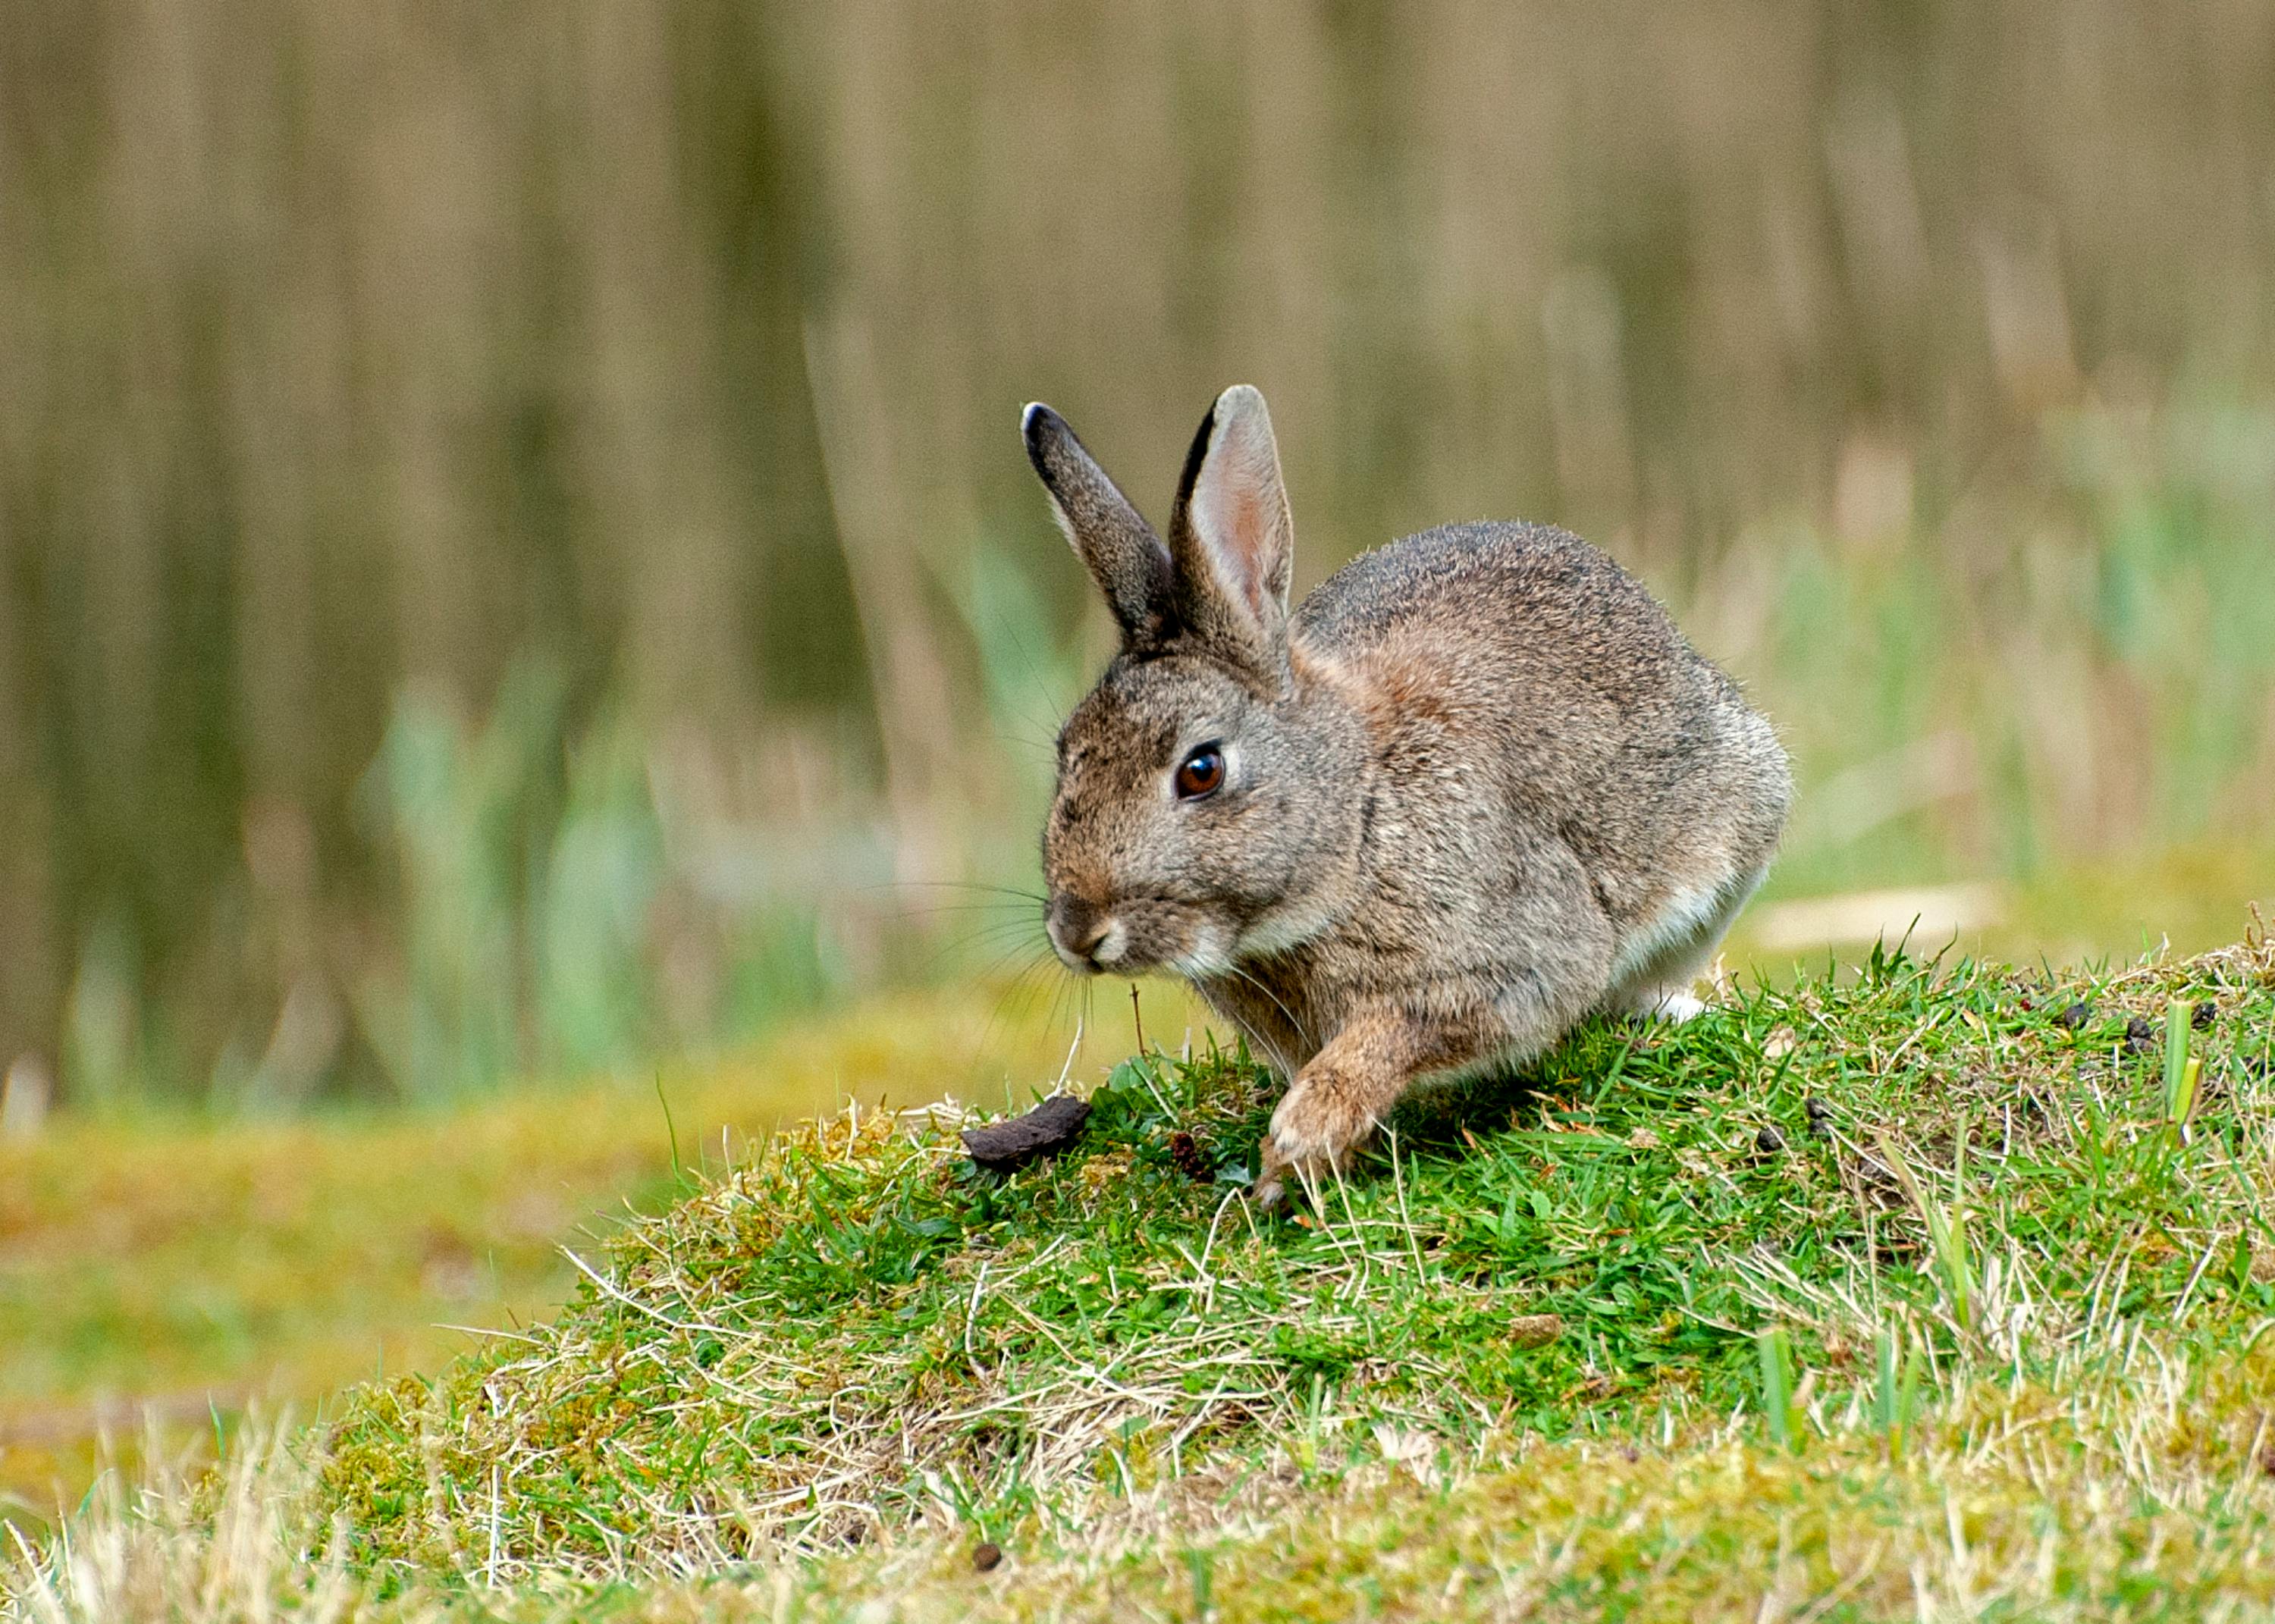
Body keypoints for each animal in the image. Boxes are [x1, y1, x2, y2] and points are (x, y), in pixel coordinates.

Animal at [1023, 384, 1790, 1209]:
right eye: (1066, 753)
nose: (1078, 934)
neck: (1359, 822)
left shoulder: (1511, 959)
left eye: (1201, 771)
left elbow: (1398, 1031)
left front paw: (1303, 1137)